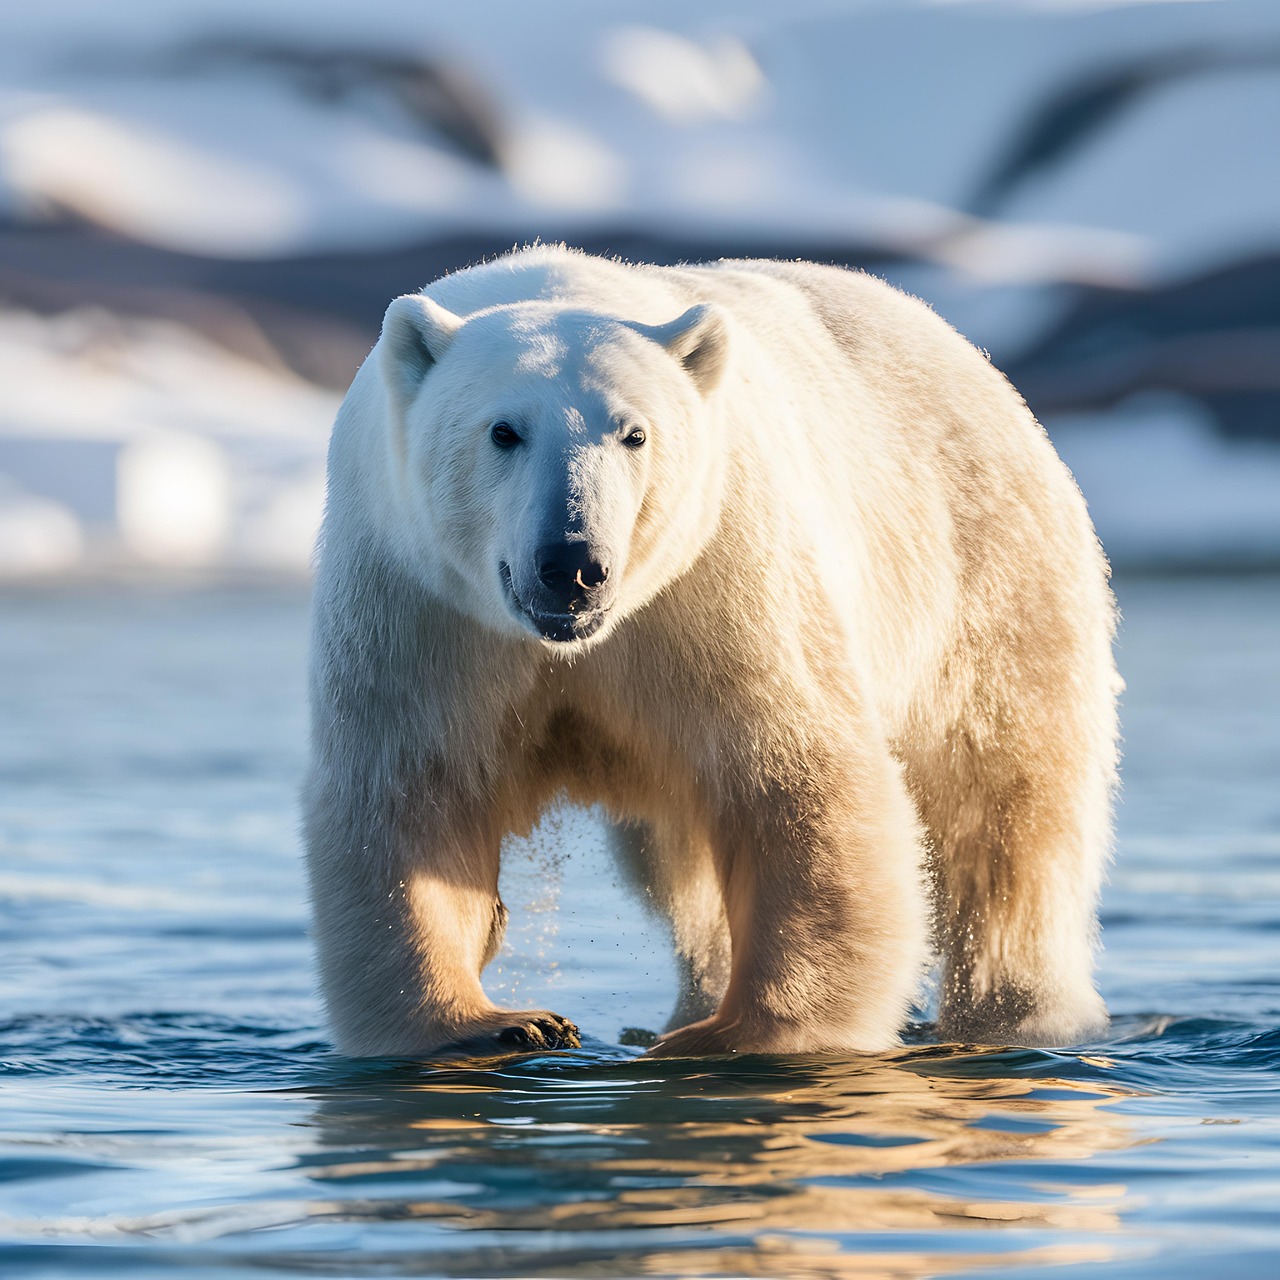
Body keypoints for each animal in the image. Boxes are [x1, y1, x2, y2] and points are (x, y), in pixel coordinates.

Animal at [303, 245, 1120, 1059]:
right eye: (503, 431)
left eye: (633, 433)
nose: (571, 563)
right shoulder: (420, 603)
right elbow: (413, 798)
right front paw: (496, 1023)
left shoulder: (718, 578)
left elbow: (794, 777)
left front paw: (744, 1034)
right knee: (678, 866)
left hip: (986, 578)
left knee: (1006, 818)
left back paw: (1015, 1015)